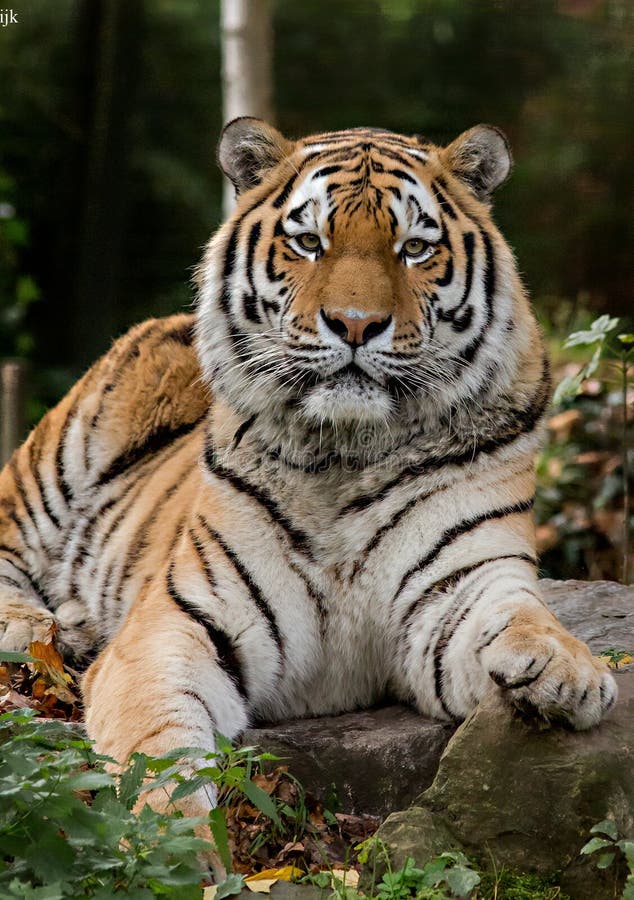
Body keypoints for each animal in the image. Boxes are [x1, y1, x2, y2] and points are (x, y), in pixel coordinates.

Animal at [0, 118, 617, 819]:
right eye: (309, 242)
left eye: (413, 248)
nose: (356, 324)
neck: (345, 453)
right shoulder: (178, 624)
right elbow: (158, 755)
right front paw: (176, 834)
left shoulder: (462, 585)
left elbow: (519, 615)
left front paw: (569, 671)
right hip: (58, 458)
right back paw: (41, 627)